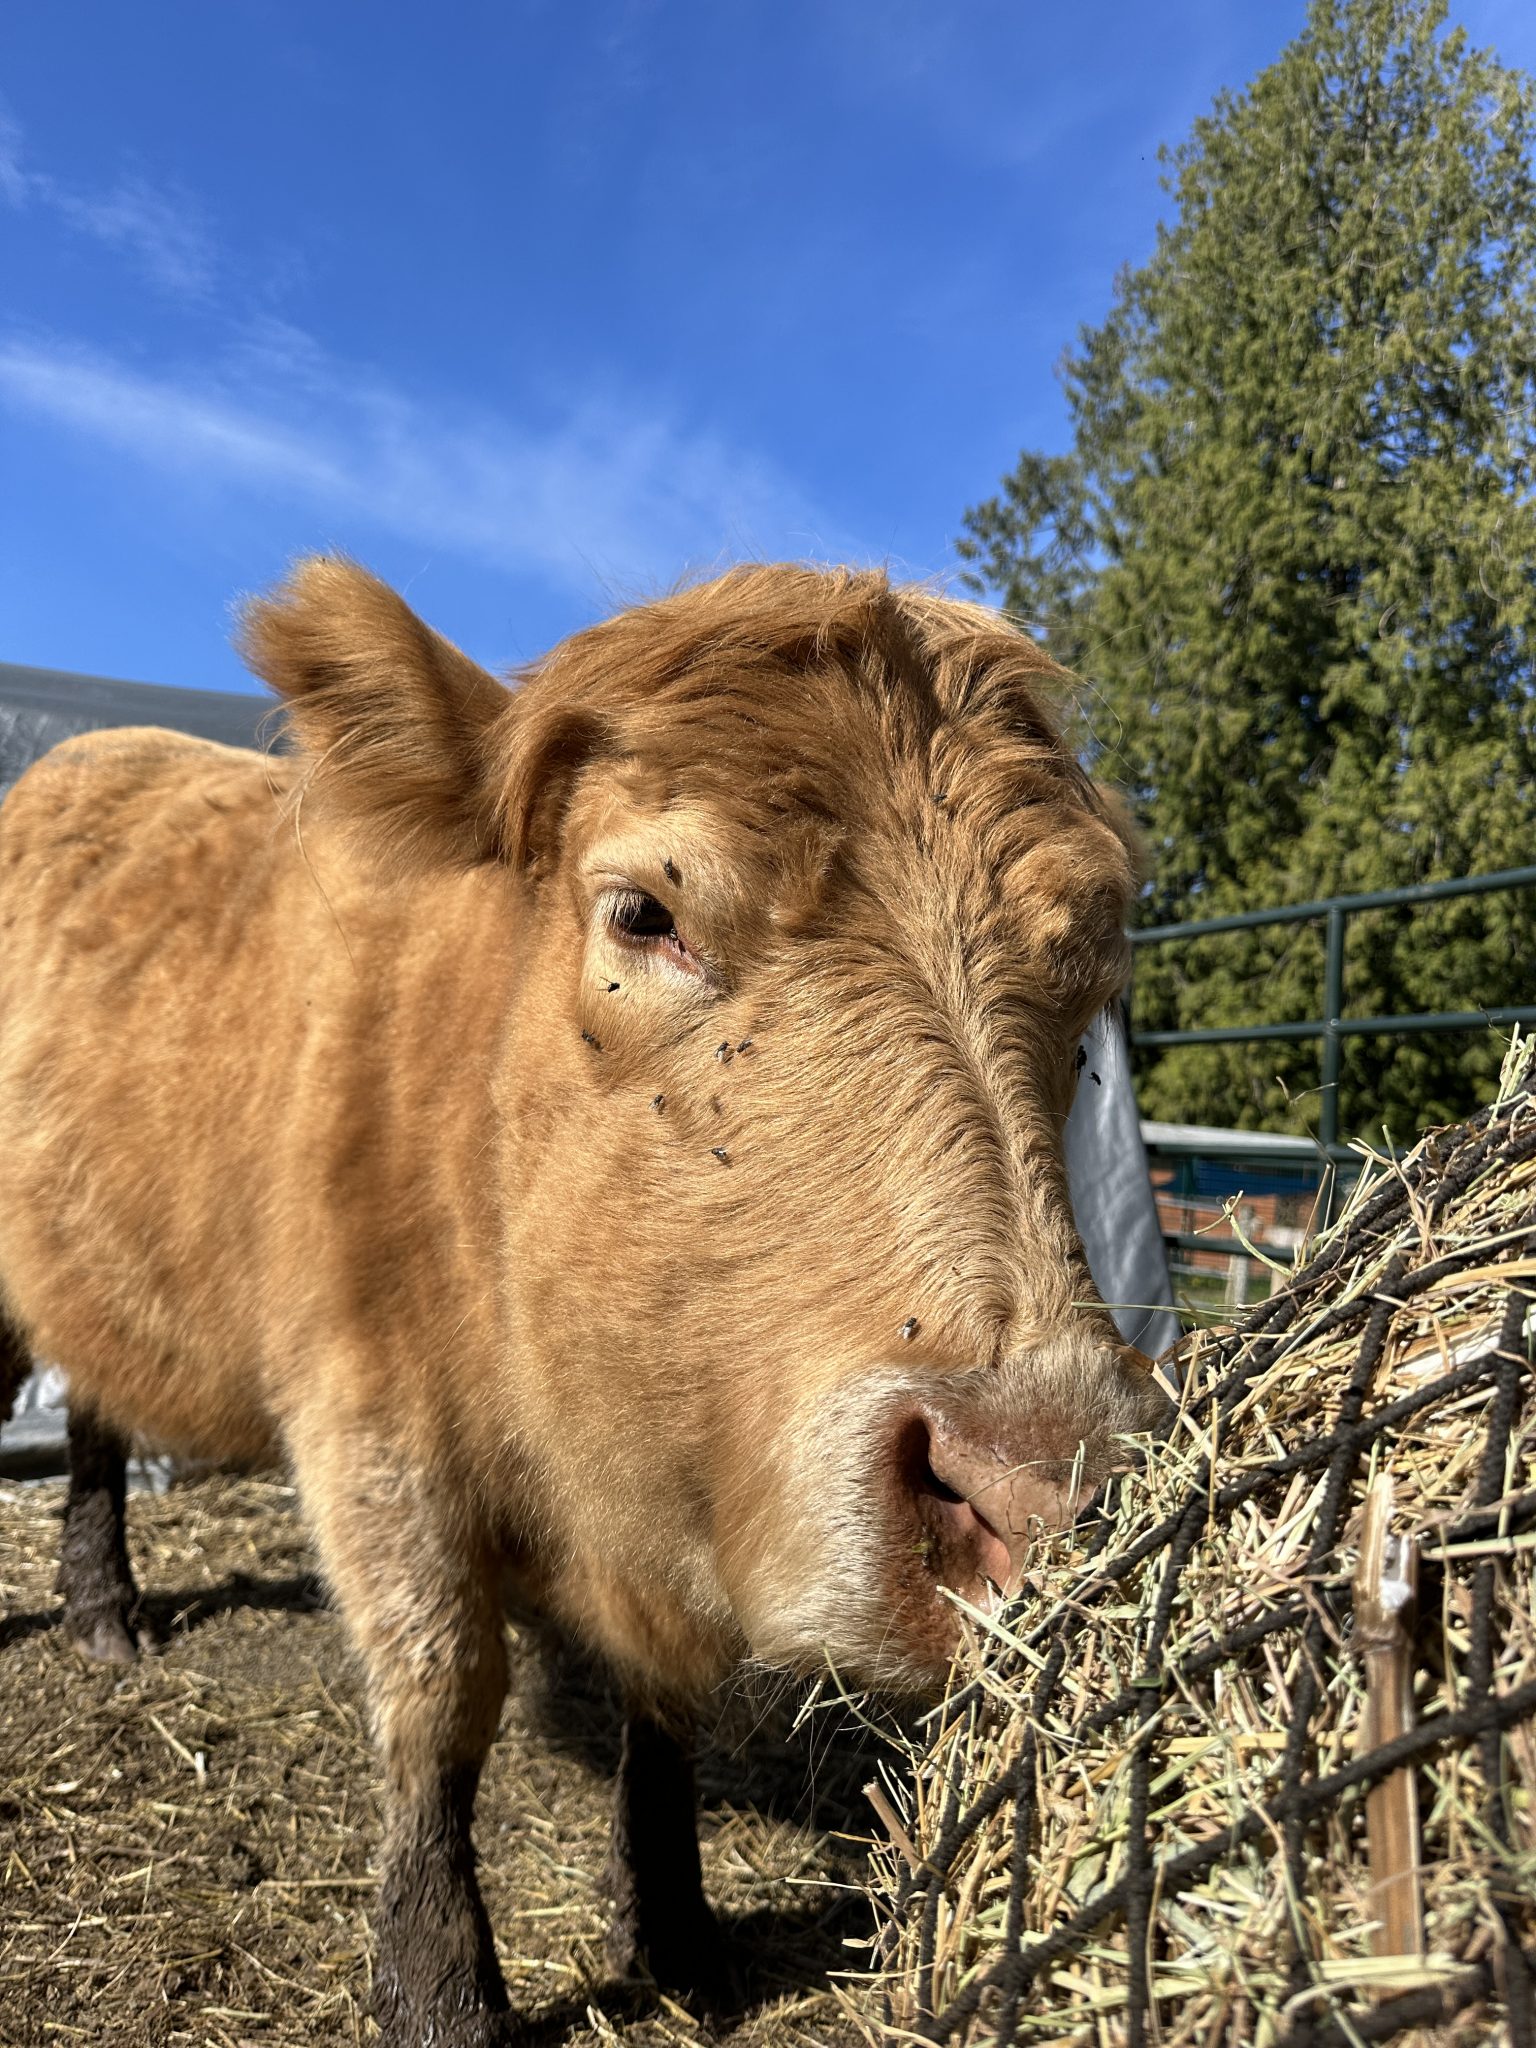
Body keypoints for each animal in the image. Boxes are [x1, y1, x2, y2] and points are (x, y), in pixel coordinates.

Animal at [0, 560, 1166, 2046]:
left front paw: (674, 1928)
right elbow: (442, 1692)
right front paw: (440, 1983)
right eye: (642, 913)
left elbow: (660, 1706)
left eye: (1089, 987)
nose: (1029, 1485)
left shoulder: (673, 1467)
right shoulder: (370, 1419)